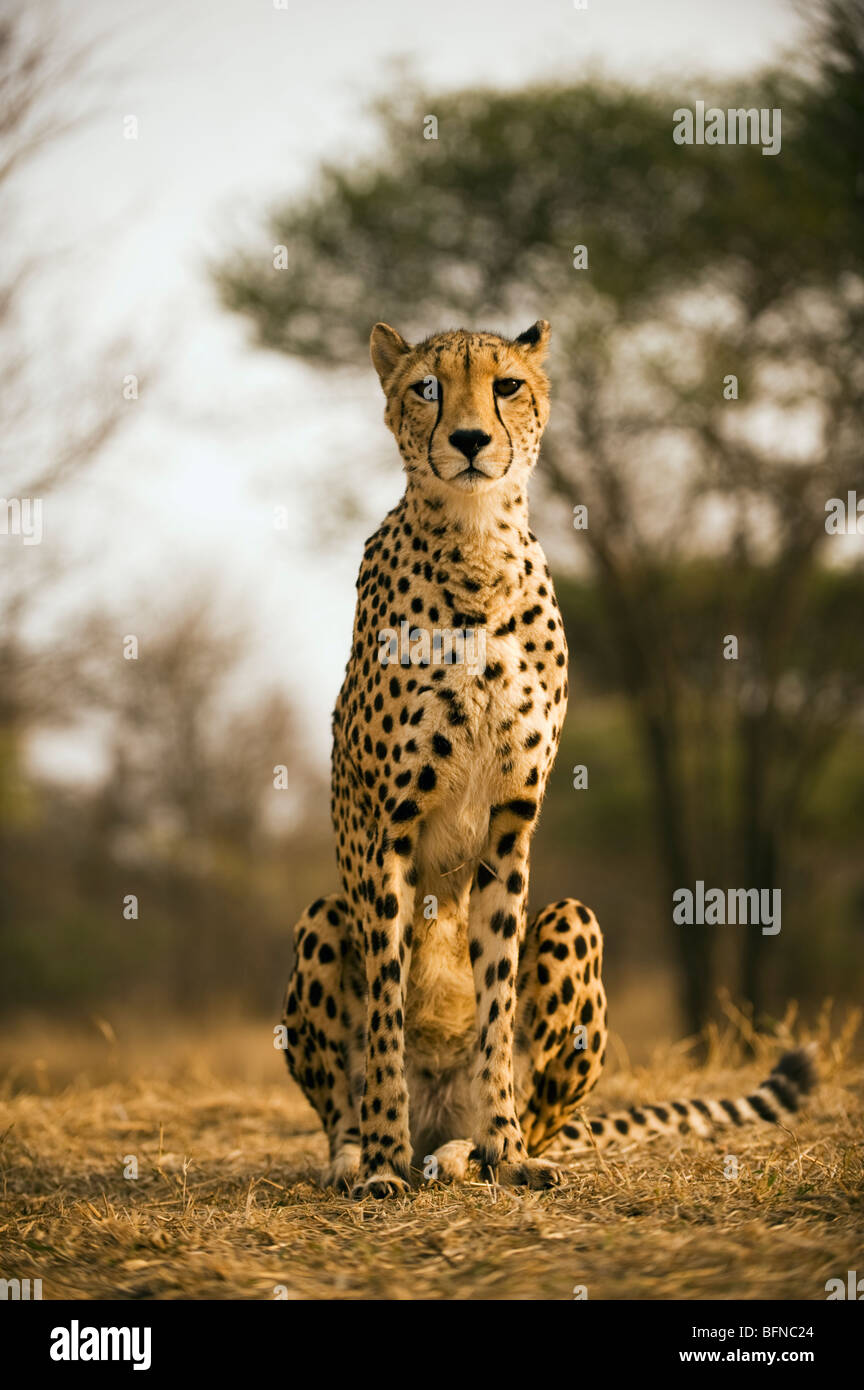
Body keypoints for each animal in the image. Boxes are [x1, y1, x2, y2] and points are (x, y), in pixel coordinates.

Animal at [281, 319, 817, 1199]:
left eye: (506, 385)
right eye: (427, 388)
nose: (469, 439)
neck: (476, 545)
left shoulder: (511, 821)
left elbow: (497, 1005)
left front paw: (503, 1150)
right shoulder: (386, 826)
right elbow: (390, 1009)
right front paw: (384, 1163)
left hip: (574, 920)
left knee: (541, 1104)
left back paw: (467, 1152)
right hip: (325, 914)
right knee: (339, 1108)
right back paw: (369, 1156)